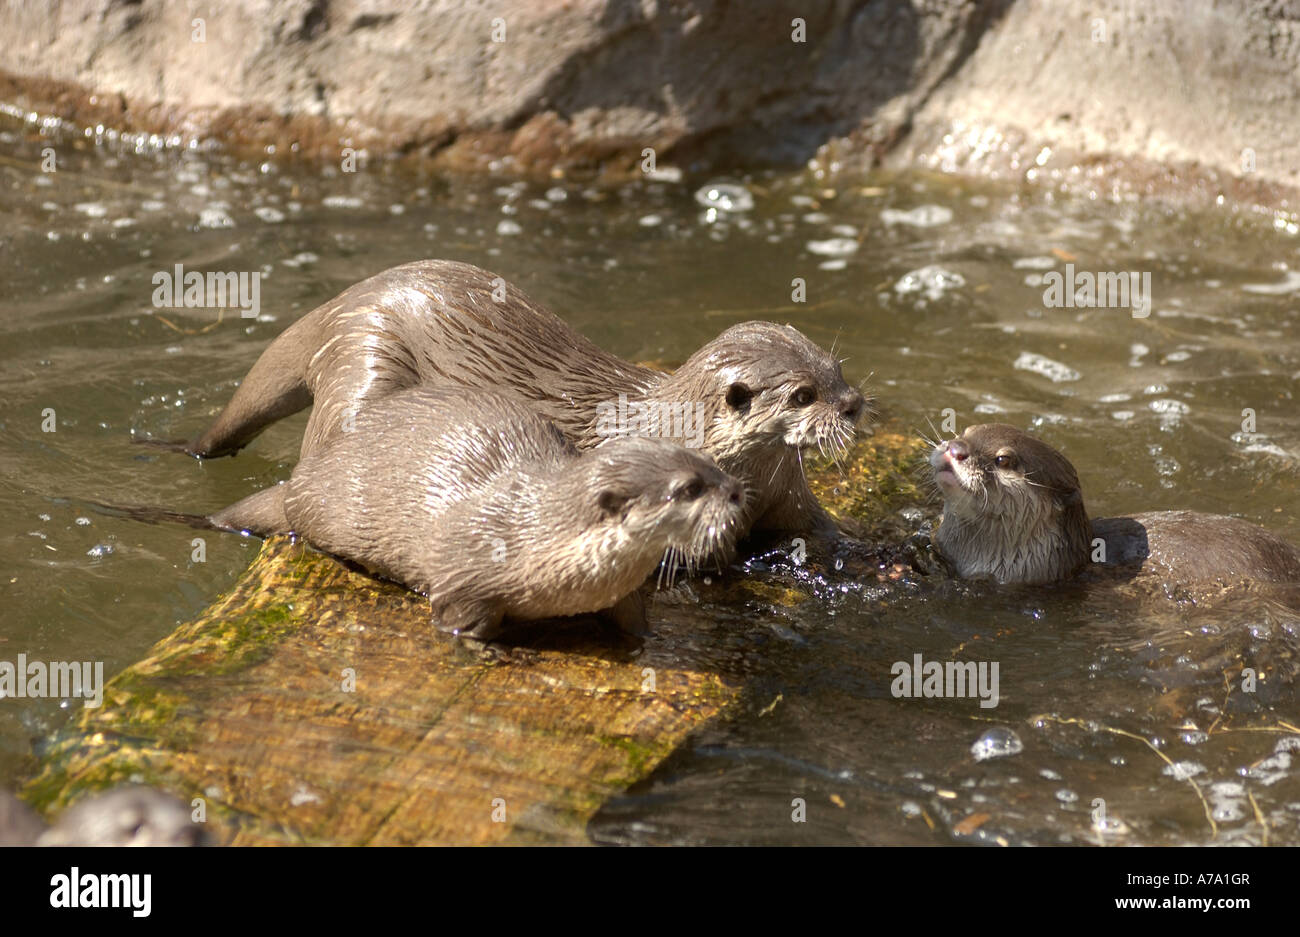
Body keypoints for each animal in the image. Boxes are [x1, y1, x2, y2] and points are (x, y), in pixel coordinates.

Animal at [145, 260, 865, 540]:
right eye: (804, 395)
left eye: (837, 371)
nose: (854, 404)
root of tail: (347, 300)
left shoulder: (788, 494)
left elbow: (820, 532)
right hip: (369, 356)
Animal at [209, 387, 746, 640]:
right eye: (689, 488)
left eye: (711, 465)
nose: (737, 490)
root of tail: (305, 475)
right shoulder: (465, 574)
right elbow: (460, 615)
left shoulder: (623, 589)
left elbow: (632, 617)